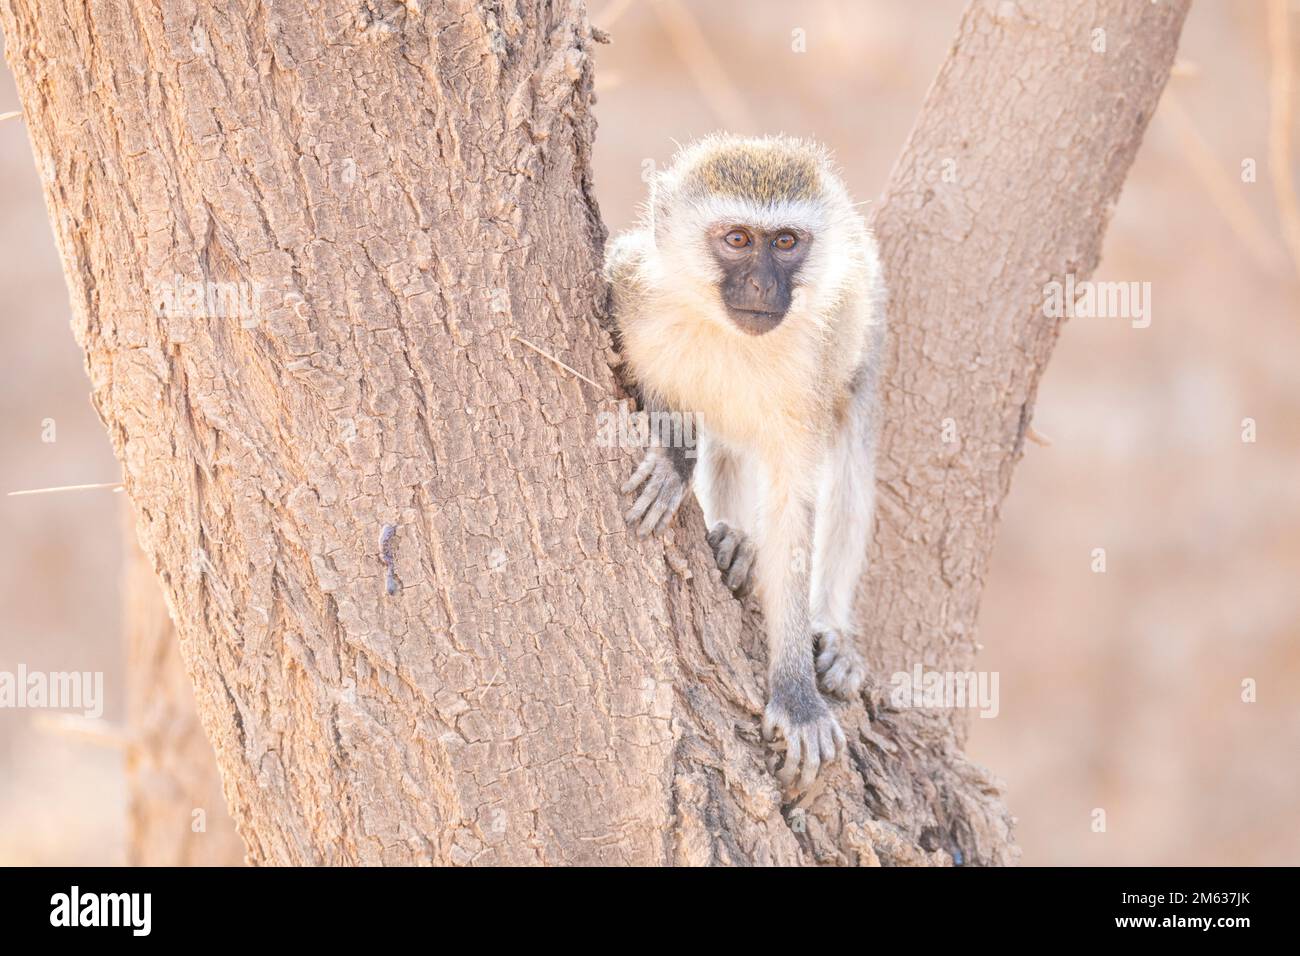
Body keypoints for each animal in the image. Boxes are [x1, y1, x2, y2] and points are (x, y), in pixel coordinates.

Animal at [605, 133, 886, 791]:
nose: (761, 287)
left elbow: (793, 510)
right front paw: (674, 458)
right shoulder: (634, 285)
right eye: (737, 239)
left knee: (850, 446)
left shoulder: (813, 368)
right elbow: (646, 363)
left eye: (784, 242)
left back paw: (831, 627)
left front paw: (797, 695)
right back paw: (733, 535)